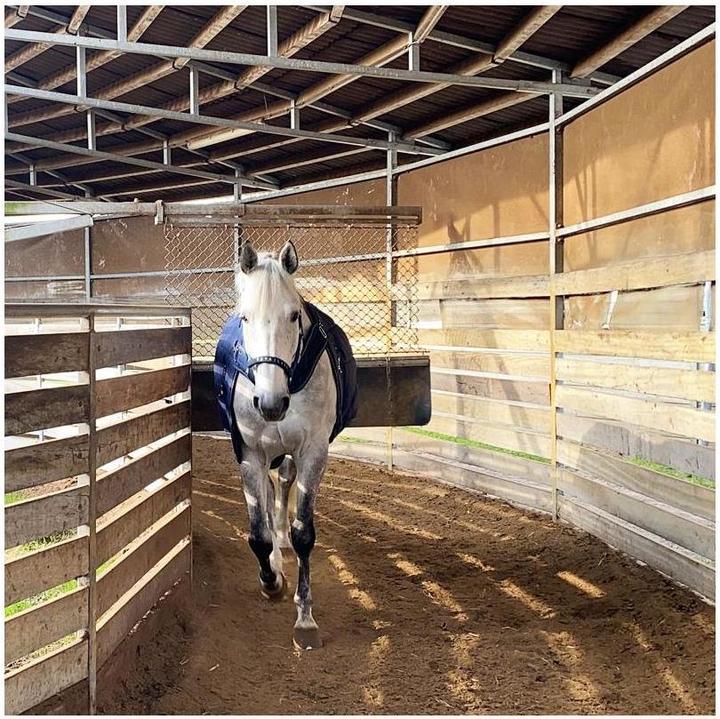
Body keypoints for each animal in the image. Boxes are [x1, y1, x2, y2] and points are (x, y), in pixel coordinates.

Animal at [214, 240, 358, 650]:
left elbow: (303, 532)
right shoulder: (249, 453)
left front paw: (305, 618)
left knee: (283, 483)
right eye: (245, 318)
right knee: (267, 492)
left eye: (294, 316)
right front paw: (271, 579)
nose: (271, 403)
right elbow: (257, 535)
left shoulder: (313, 452)